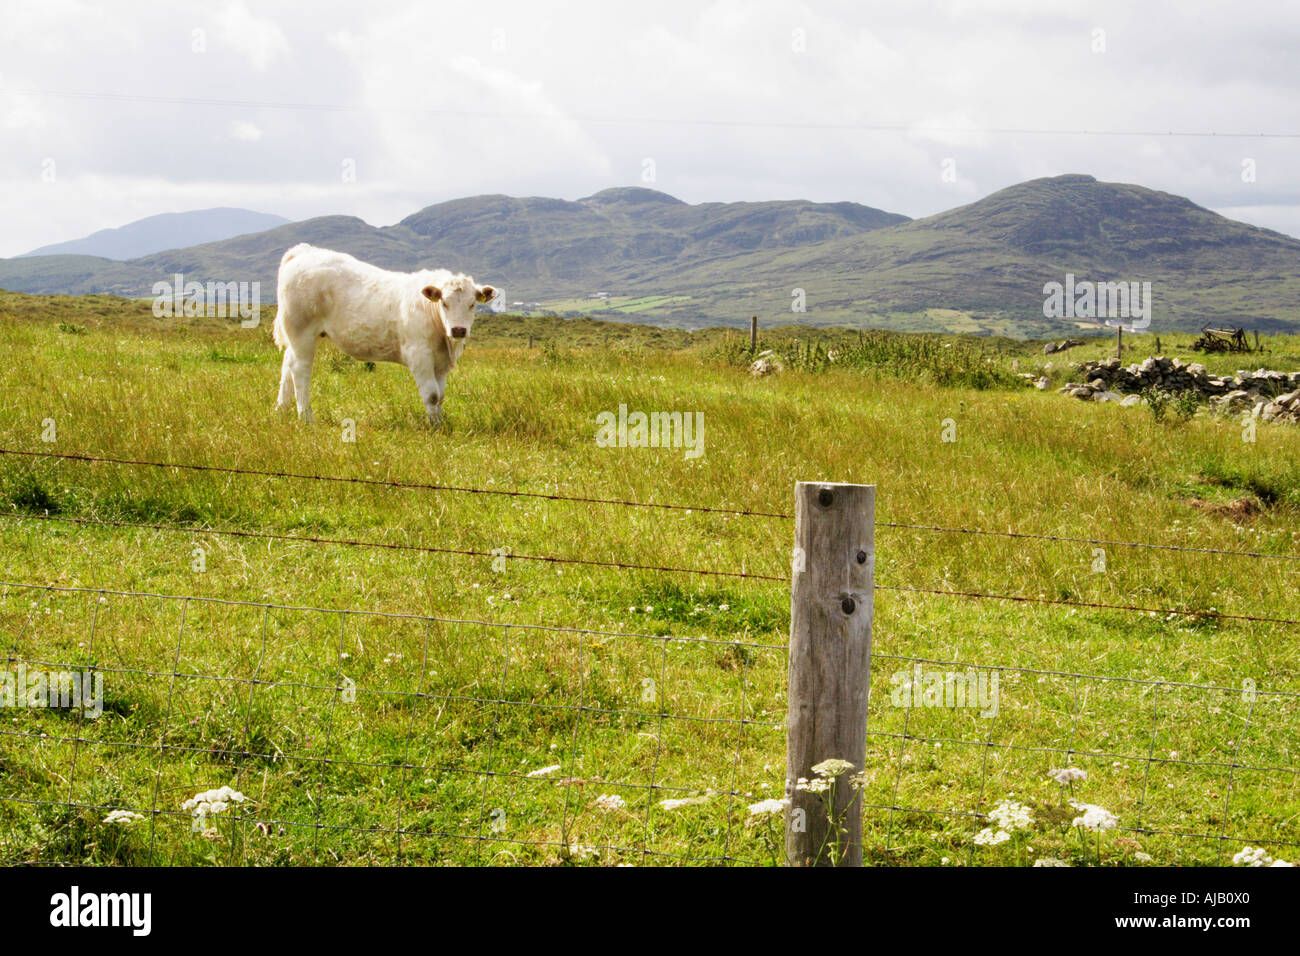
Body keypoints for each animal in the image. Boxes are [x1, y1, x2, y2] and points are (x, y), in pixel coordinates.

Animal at [272, 244, 497, 427]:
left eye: (472, 304)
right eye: (444, 303)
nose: (458, 330)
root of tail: (304, 251)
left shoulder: (441, 364)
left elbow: (440, 396)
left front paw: (440, 423)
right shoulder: (419, 356)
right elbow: (432, 395)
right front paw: (434, 428)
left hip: (300, 336)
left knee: (287, 365)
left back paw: (281, 410)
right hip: (302, 331)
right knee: (300, 370)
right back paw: (306, 417)